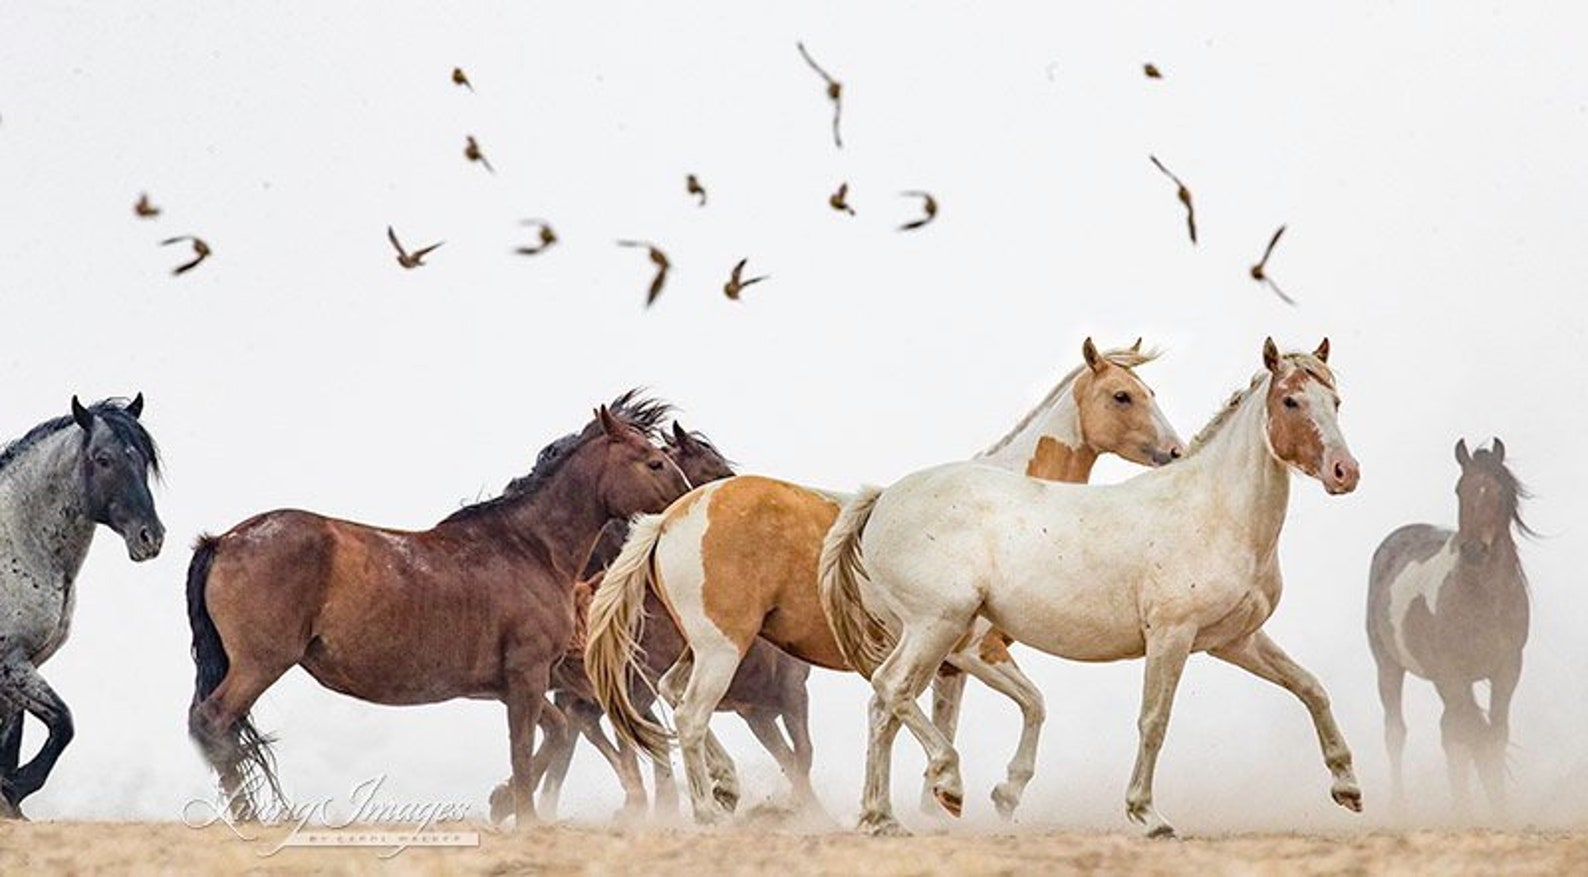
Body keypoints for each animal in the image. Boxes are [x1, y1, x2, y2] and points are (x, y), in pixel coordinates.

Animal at [0, 395, 164, 819]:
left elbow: (16, 738)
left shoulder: (24, 664)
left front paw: (10, 798)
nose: (151, 537)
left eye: (143, 458)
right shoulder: (11, 663)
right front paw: (14, 788)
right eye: (103, 459)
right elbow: (64, 723)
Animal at [184, 394, 690, 827]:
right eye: (654, 461)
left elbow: (556, 732)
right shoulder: (526, 675)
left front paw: (503, 802)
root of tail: (223, 541)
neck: (528, 548)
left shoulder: (513, 685)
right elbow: (524, 746)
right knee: (214, 722)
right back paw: (249, 820)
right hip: (260, 664)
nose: (687, 507)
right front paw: (524, 816)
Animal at [586, 338, 1183, 826]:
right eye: (1123, 396)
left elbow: (926, 716)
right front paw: (980, 791)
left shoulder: (949, 663)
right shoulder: (974, 649)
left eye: (1150, 391)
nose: (1175, 453)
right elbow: (1026, 705)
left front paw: (929, 803)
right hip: (721, 649)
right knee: (689, 714)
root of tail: (672, 518)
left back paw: (727, 785)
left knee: (674, 694)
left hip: (708, 646)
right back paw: (710, 812)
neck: (1001, 506)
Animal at [820, 339, 1362, 837]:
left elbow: (1310, 688)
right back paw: (947, 784)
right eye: (1290, 400)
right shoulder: (1172, 636)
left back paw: (883, 818)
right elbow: (1153, 720)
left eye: (1335, 400)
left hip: (936, 637)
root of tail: (882, 498)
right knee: (891, 689)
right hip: (937, 624)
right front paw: (1148, 816)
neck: (1216, 513)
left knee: (886, 707)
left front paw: (1348, 787)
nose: (1345, 473)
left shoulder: (1235, 640)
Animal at [1366, 437, 1533, 815]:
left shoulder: (1507, 670)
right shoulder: (1452, 674)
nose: (1473, 550)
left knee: (1450, 730)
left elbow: (1494, 736)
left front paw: (1500, 809)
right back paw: (1402, 807)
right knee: (1397, 732)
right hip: (1390, 667)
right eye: (1460, 489)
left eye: (1498, 491)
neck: (1484, 602)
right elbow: (1471, 737)